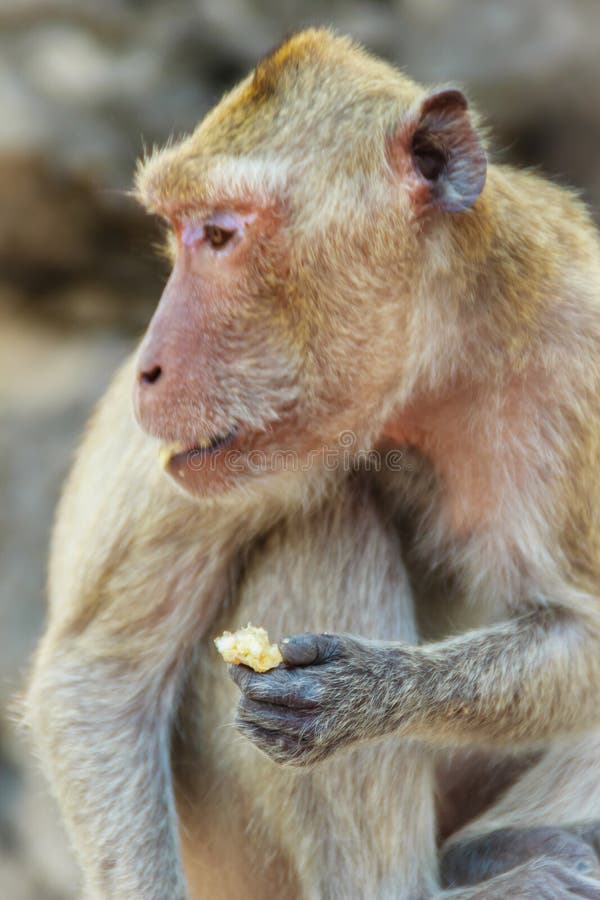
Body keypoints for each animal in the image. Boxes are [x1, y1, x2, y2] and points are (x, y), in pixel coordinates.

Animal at [25, 27, 600, 900]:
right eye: (176, 230)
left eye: (219, 236)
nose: (147, 369)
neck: (421, 386)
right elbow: (99, 679)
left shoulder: (578, 345)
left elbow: (587, 631)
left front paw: (367, 693)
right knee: (325, 523)